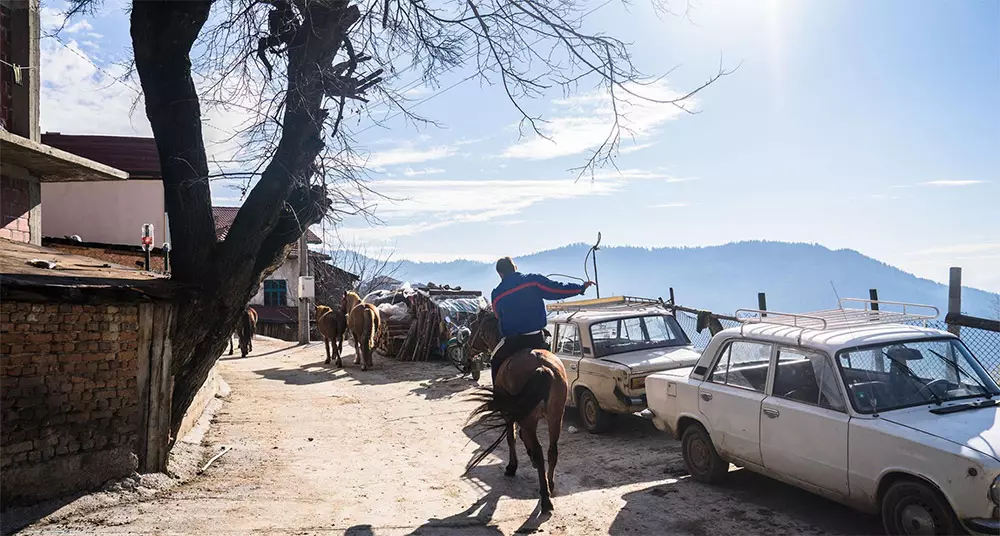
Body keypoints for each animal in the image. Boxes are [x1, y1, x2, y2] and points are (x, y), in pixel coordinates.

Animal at [462, 312, 568, 512]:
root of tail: (541, 365)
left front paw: (512, 467)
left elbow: (511, 437)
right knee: (552, 451)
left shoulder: (509, 413)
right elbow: (522, 437)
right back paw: (550, 485)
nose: (468, 350)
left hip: (531, 418)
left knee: (539, 452)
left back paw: (545, 498)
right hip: (555, 416)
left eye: (473, 326)